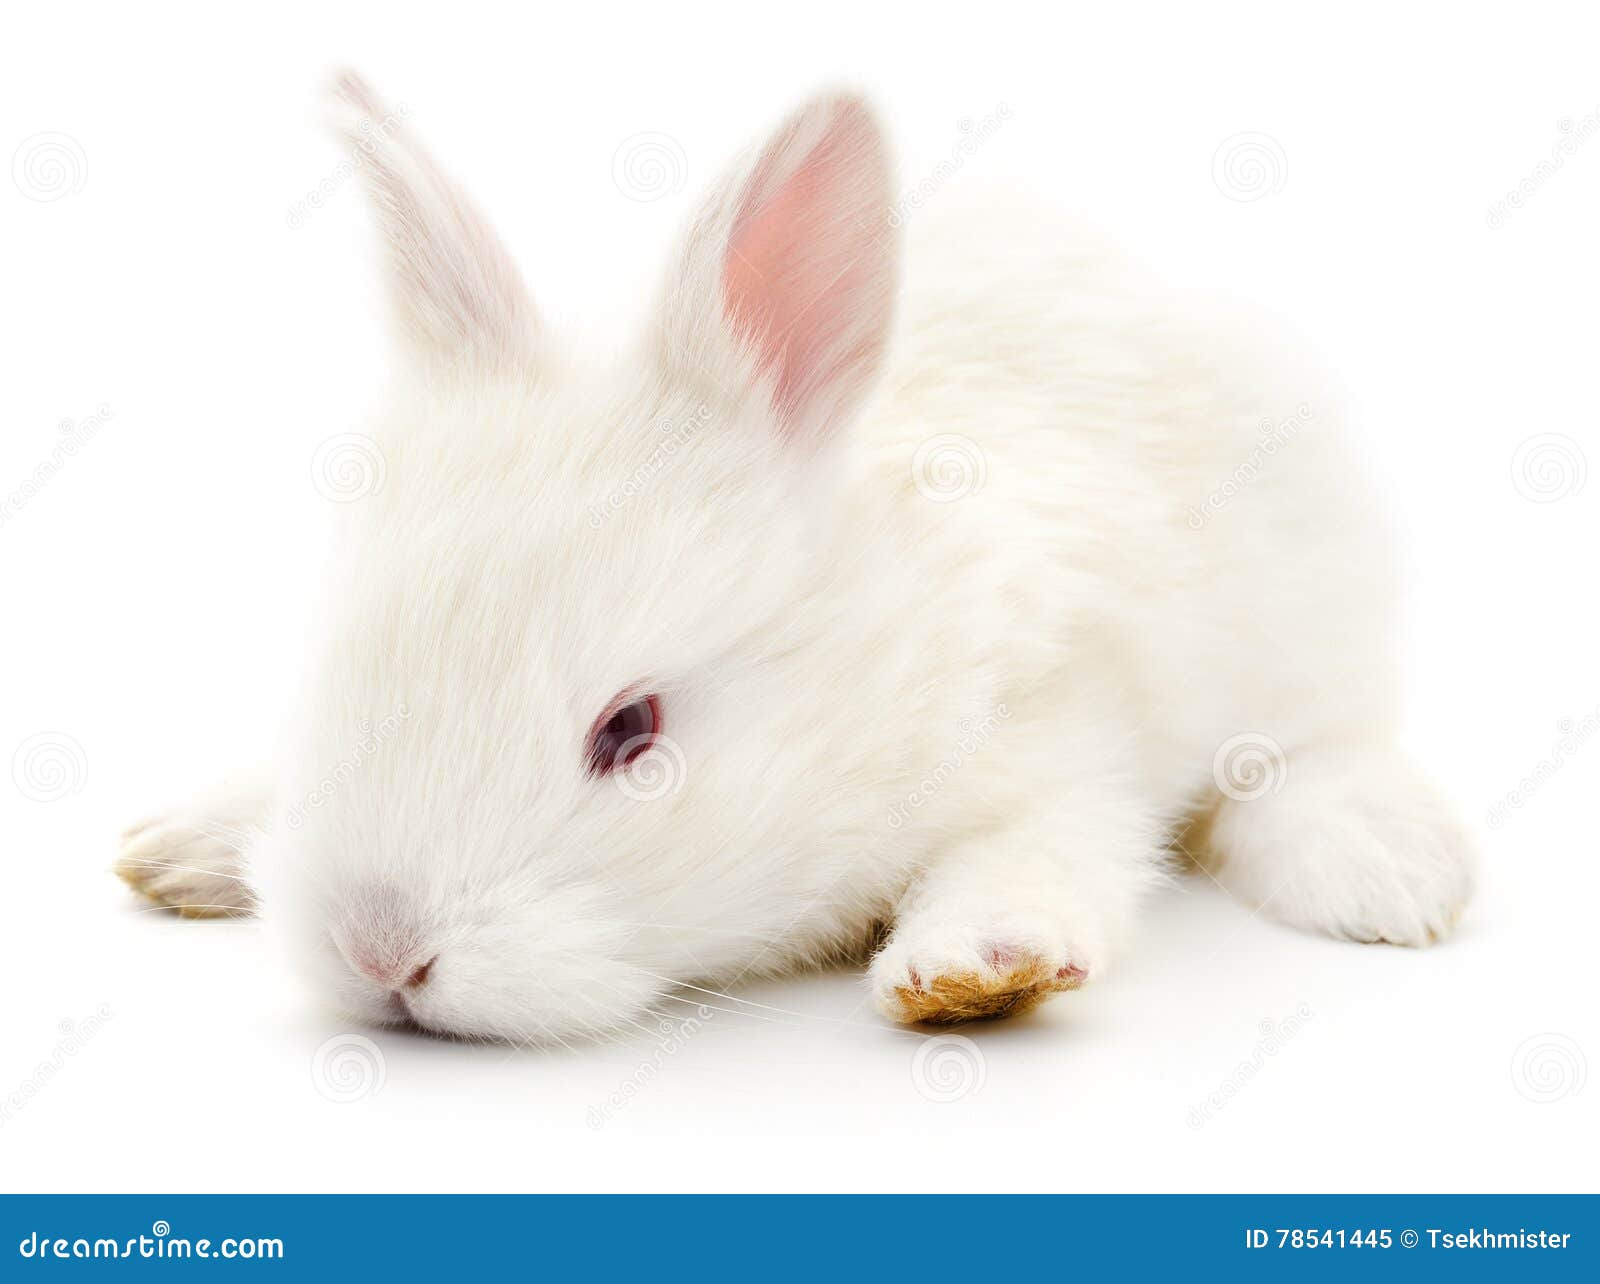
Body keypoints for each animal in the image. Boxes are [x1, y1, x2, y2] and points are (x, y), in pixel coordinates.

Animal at [115, 71, 1476, 1042]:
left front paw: (974, 970)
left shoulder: (1059, 737)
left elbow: (1040, 857)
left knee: (1311, 758)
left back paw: (1388, 878)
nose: (380, 954)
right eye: (331, 672)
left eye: (633, 730)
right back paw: (186, 846)